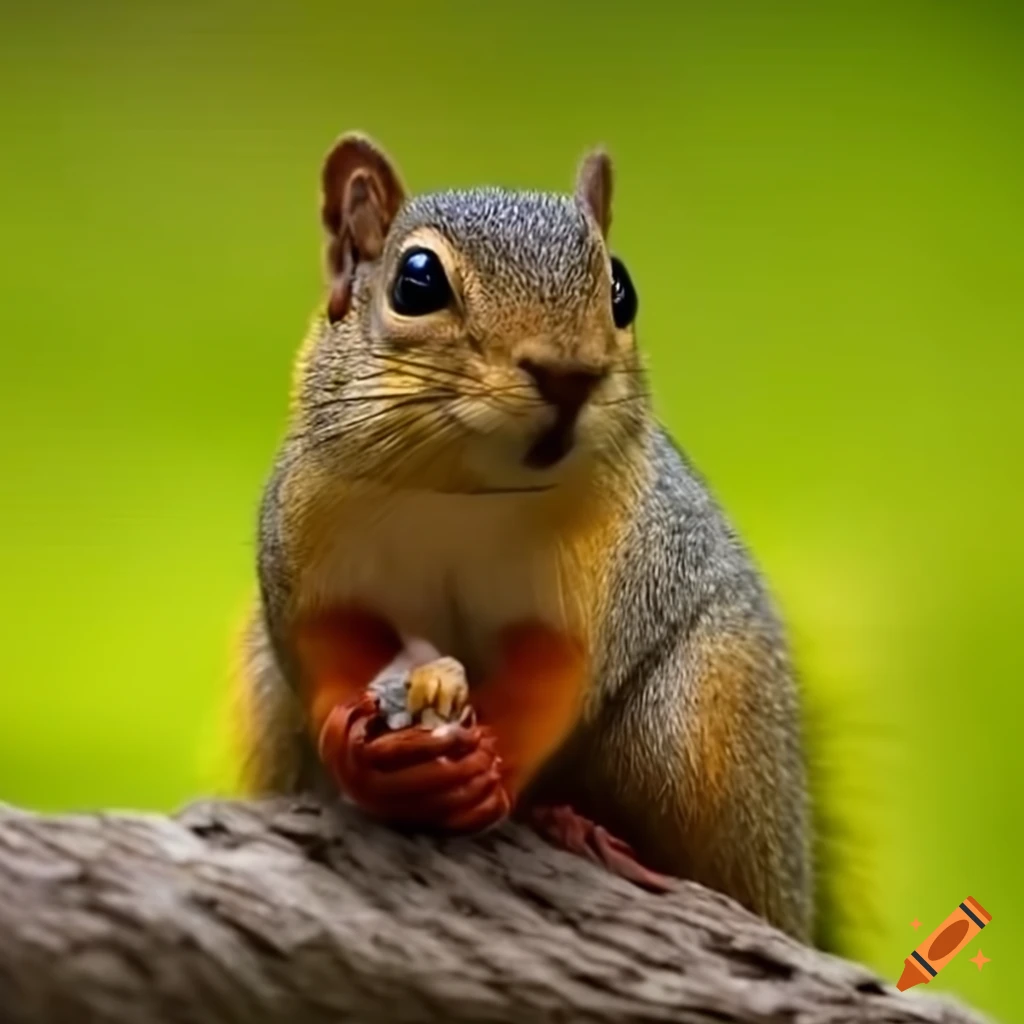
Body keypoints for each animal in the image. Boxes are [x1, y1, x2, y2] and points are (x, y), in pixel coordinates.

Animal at [232, 132, 813, 943]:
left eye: (622, 288)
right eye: (416, 282)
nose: (570, 374)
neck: (463, 496)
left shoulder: (606, 560)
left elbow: (555, 668)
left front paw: (491, 768)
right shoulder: (308, 540)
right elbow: (330, 644)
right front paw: (357, 745)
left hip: (707, 717)